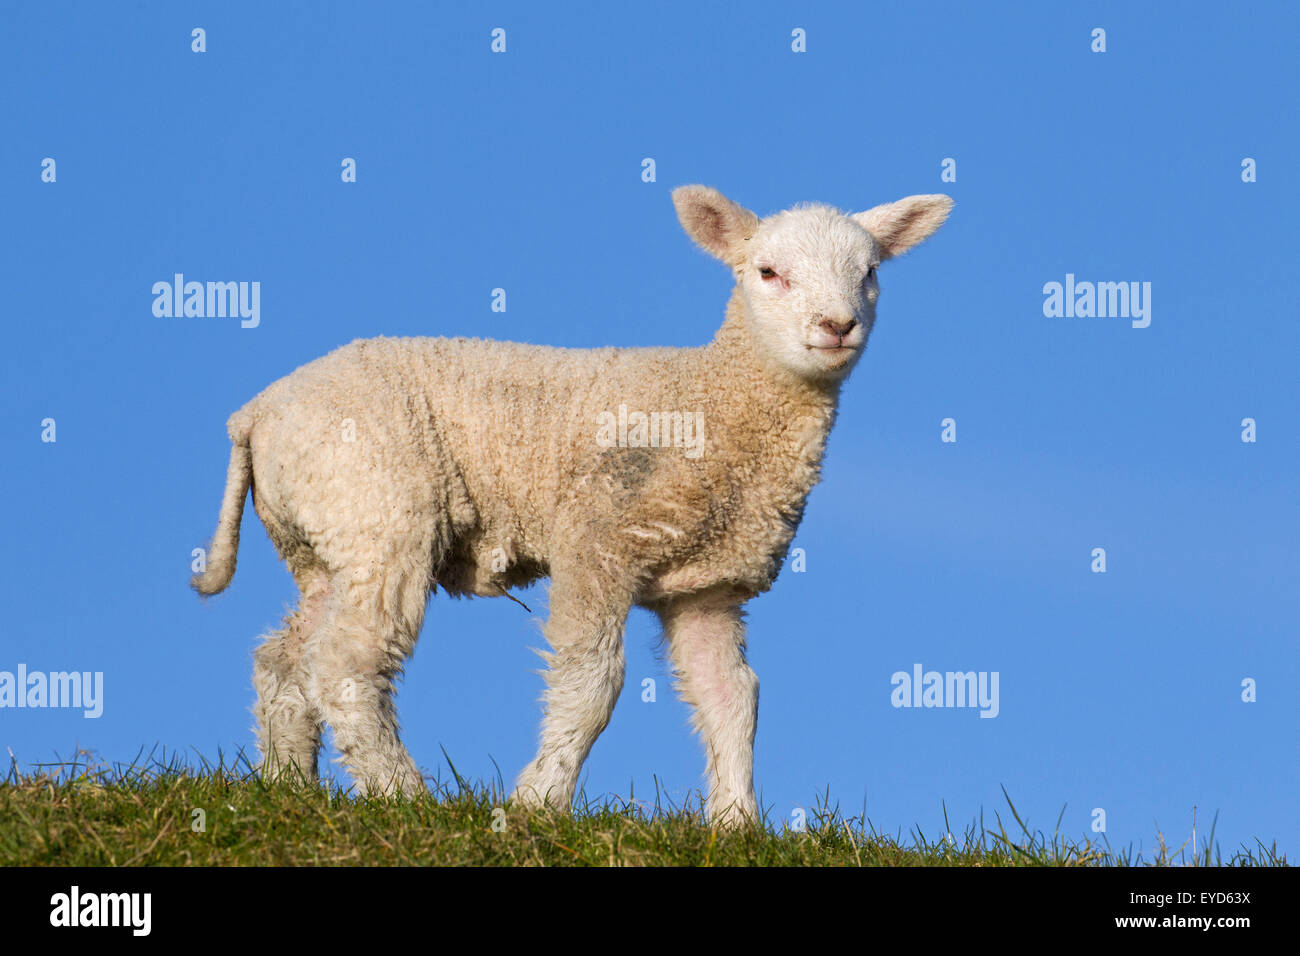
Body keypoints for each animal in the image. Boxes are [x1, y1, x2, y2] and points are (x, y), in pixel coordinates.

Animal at [193, 185, 952, 828]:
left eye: (871, 273)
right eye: (767, 273)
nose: (838, 325)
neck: (712, 398)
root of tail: (254, 414)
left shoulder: (704, 587)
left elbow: (733, 697)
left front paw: (736, 824)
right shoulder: (600, 539)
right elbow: (594, 684)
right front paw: (538, 802)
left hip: (327, 537)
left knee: (285, 661)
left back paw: (287, 788)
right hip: (379, 506)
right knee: (346, 665)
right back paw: (404, 796)